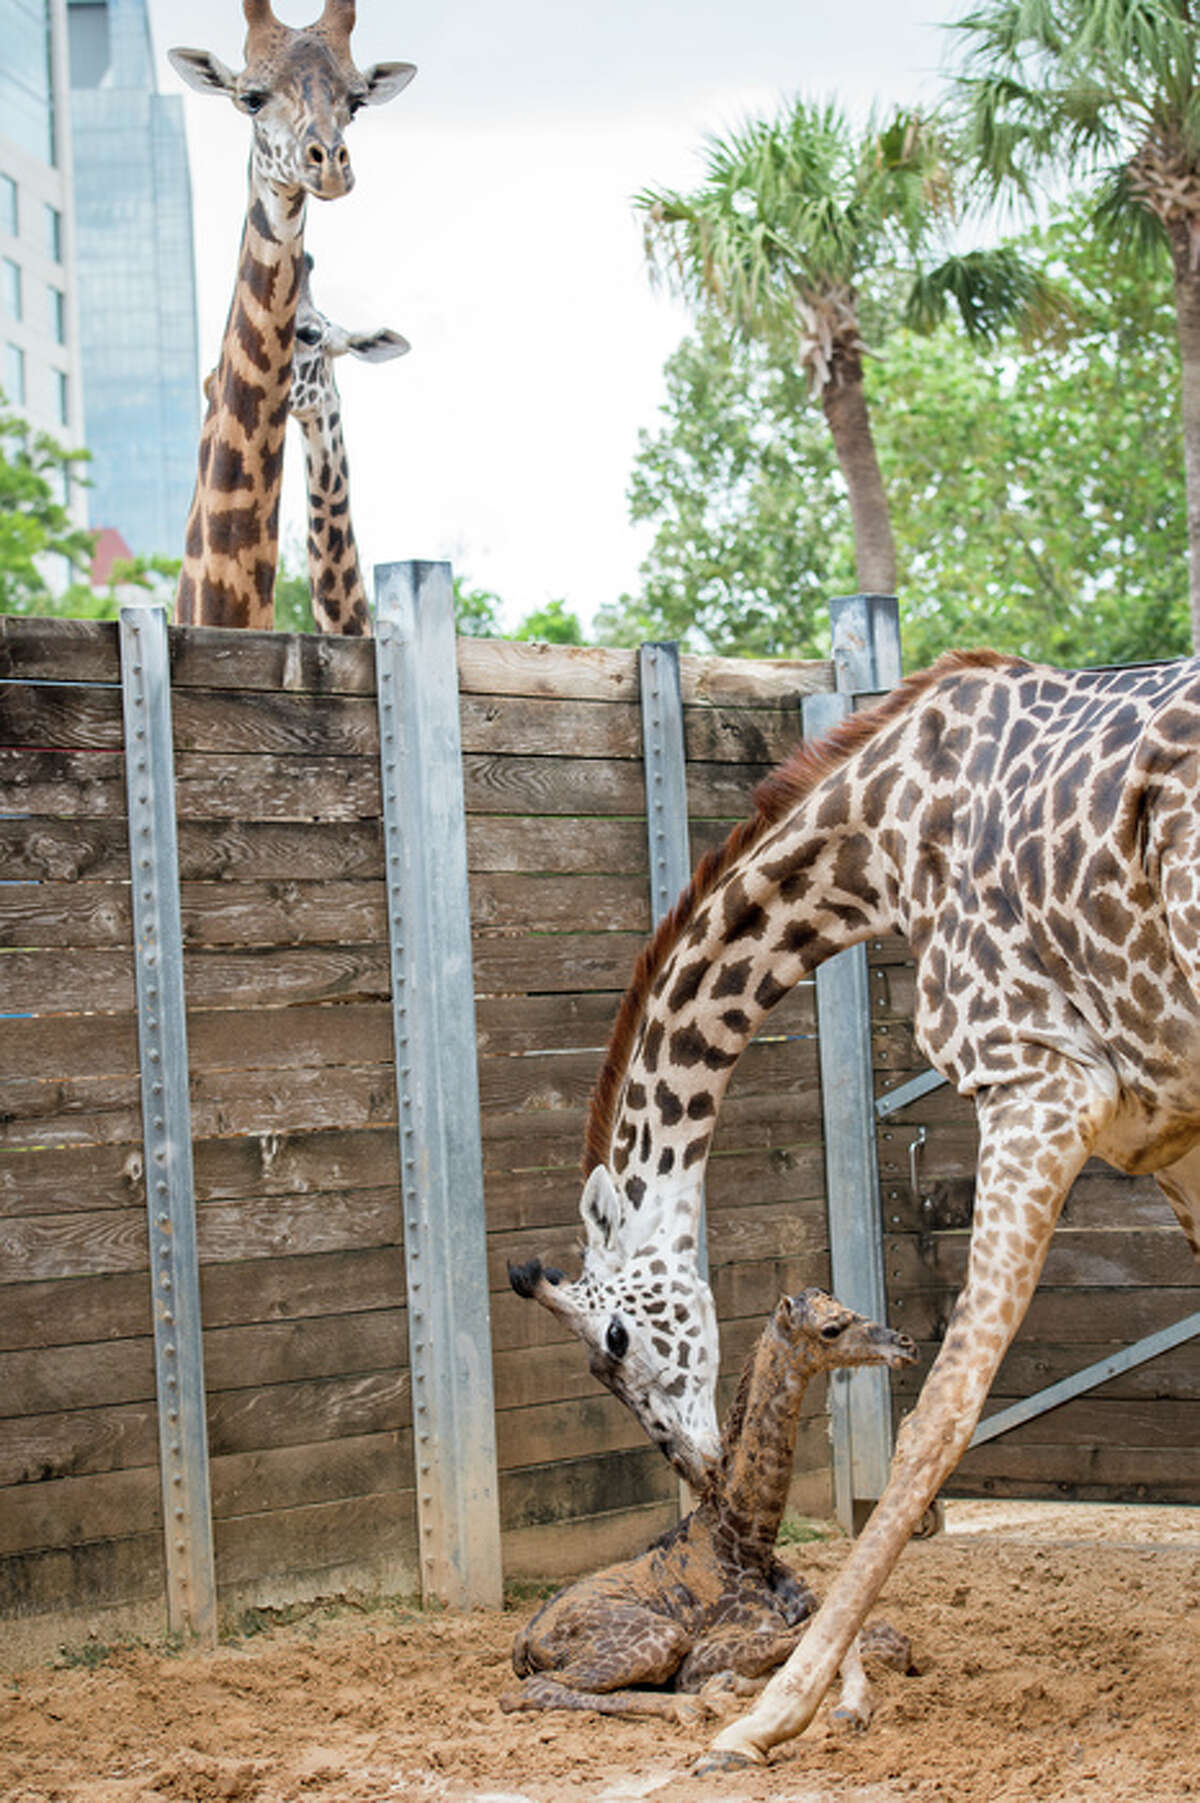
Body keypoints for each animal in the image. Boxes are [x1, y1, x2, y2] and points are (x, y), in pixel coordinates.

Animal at [500, 1287, 916, 1727]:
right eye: (831, 1329)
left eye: (849, 1310)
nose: (904, 1344)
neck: (744, 1542)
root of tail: (522, 1640)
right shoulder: (707, 1647)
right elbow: (789, 1646)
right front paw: (726, 1685)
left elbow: (888, 1640)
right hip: (663, 1636)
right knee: (528, 1691)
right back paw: (689, 1706)